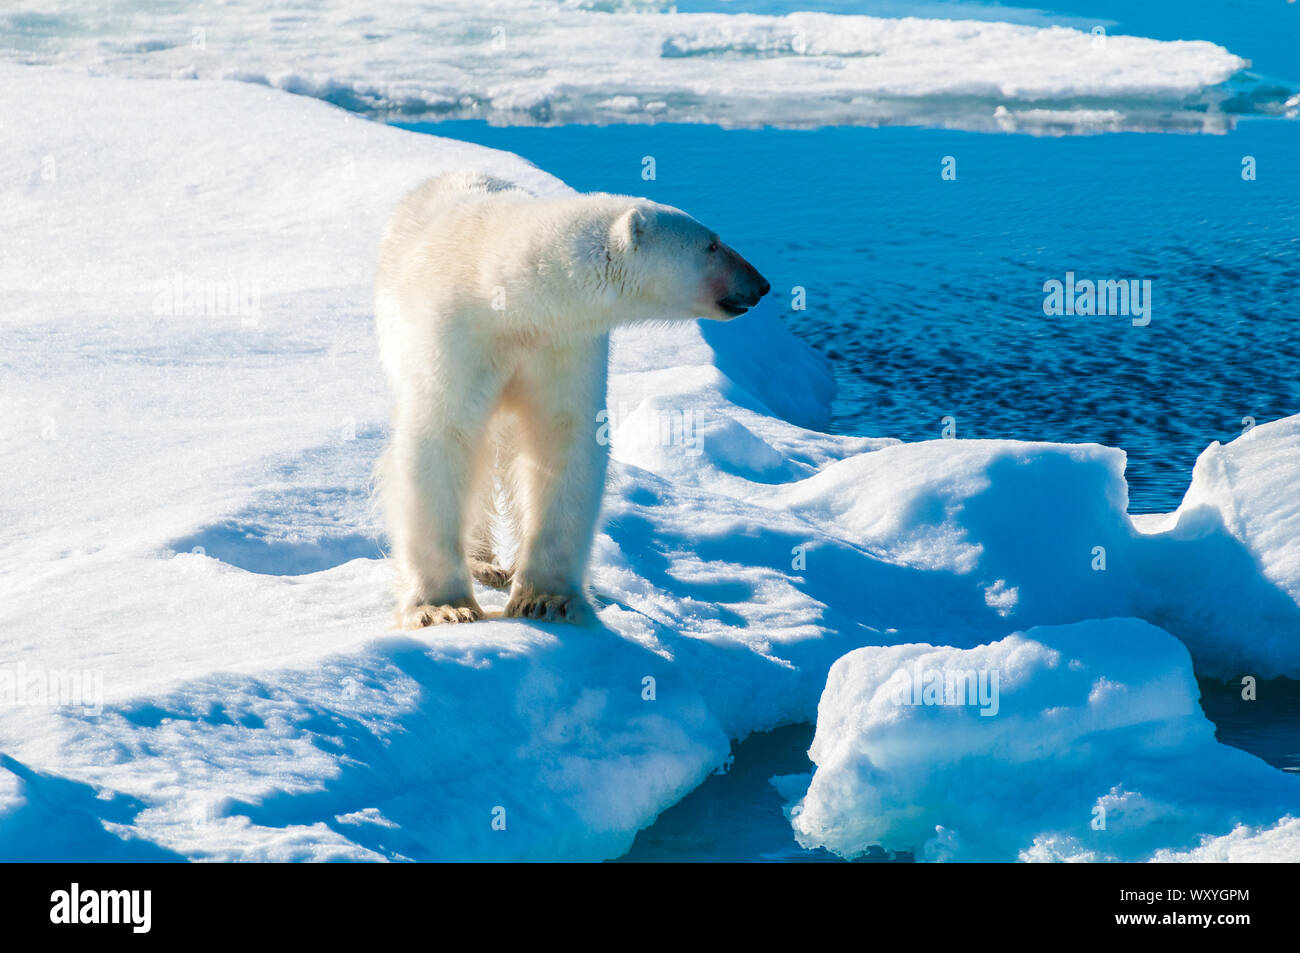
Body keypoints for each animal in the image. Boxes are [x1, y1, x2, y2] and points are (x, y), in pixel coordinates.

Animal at [373, 171, 770, 628]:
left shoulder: (562, 344)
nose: (761, 284)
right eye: (713, 245)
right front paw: (443, 606)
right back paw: (482, 563)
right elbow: (442, 437)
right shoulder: (455, 335)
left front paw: (547, 600)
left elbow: (561, 439)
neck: (506, 294)